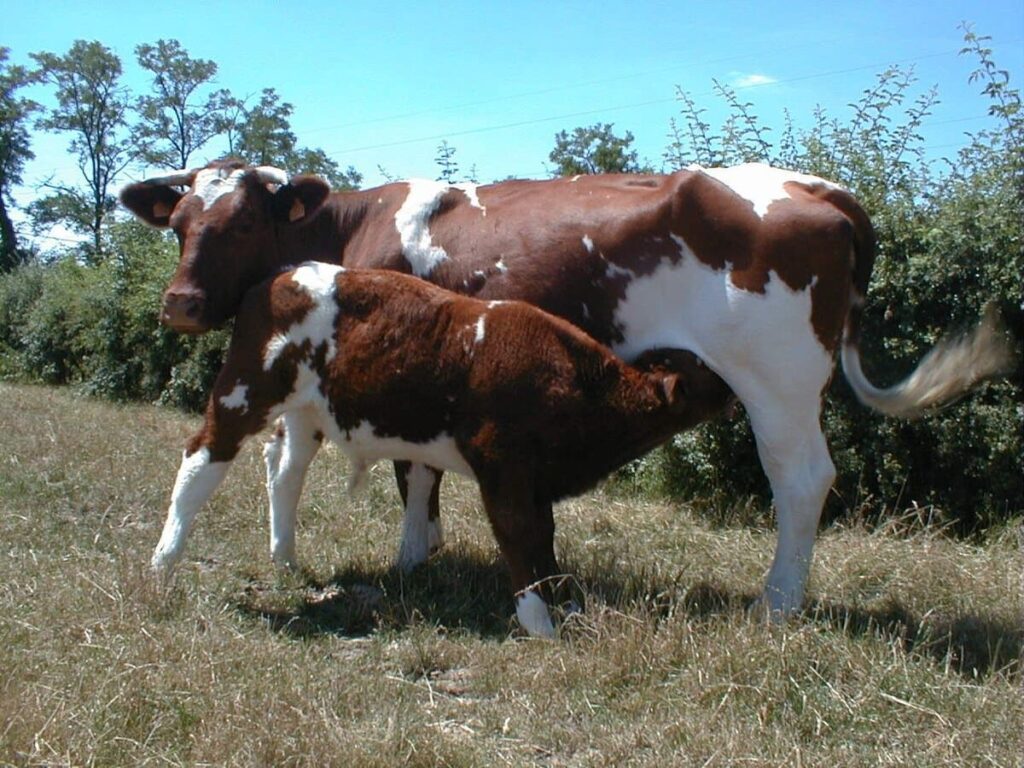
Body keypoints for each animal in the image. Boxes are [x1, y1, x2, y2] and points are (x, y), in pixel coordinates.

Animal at [153, 263, 735, 636]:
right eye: (705, 372)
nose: (733, 383)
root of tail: (275, 277)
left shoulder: (535, 479)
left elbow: (544, 537)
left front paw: (566, 601)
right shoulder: (502, 469)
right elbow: (520, 537)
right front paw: (539, 622)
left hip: (304, 413)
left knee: (285, 472)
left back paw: (286, 559)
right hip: (242, 392)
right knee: (200, 460)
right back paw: (164, 562)